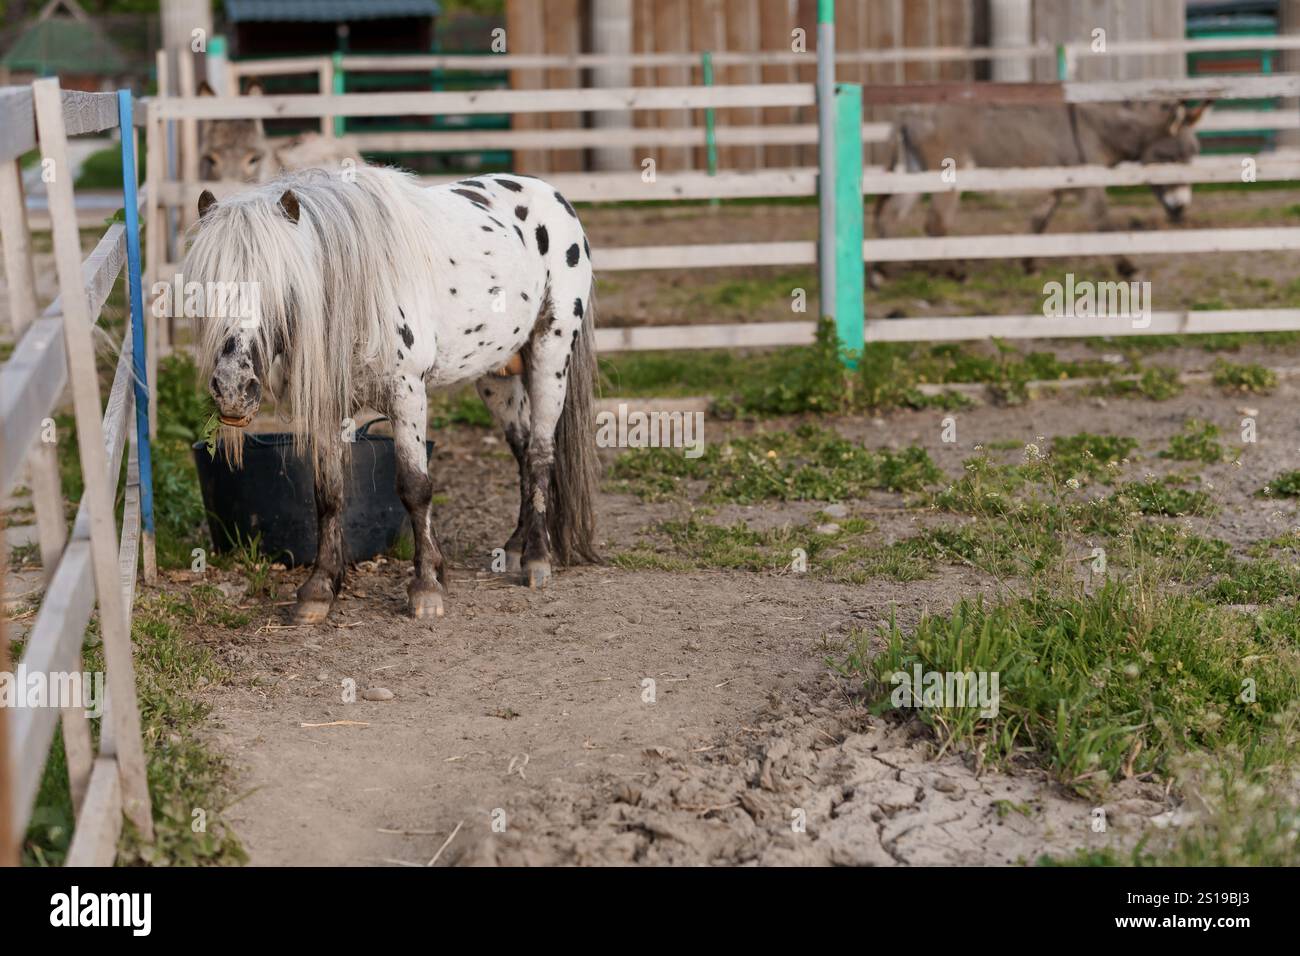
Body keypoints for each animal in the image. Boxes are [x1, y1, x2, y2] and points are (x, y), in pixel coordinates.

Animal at [184, 164, 601, 624]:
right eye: (206, 288)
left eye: (282, 284)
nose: (233, 387)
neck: (359, 290)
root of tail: (552, 195)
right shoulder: (330, 408)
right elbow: (327, 493)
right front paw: (320, 589)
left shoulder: (407, 393)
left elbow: (414, 487)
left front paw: (426, 587)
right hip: (496, 376)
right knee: (524, 451)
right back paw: (513, 547)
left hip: (550, 355)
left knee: (542, 453)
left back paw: (537, 558)